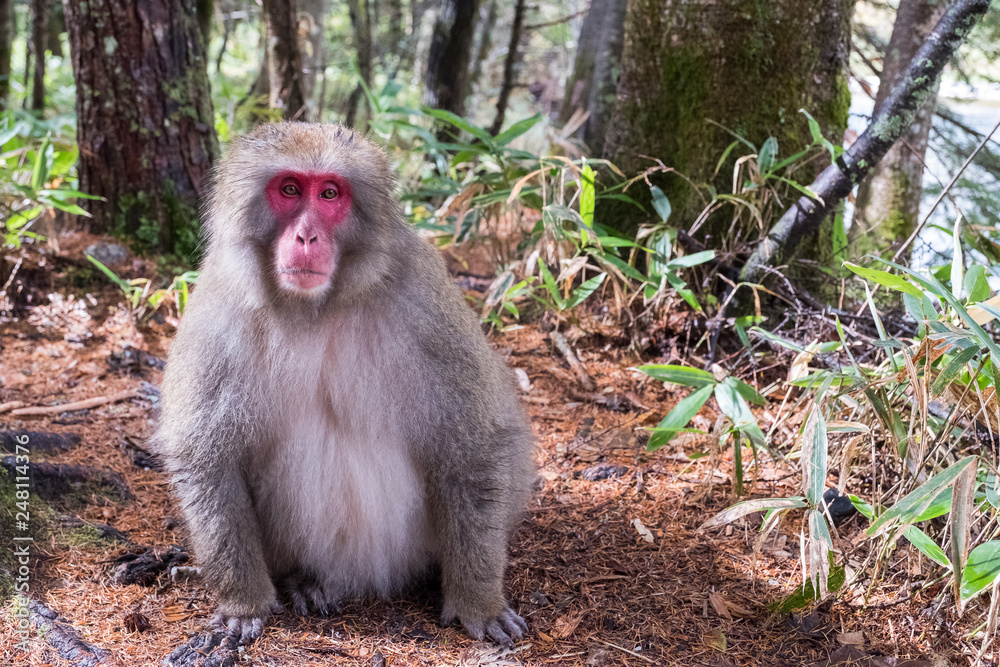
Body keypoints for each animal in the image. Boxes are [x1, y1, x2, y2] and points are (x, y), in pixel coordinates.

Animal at [156, 122, 535, 648]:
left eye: (330, 194)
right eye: (290, 190)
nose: (306, 235)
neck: (317, 308)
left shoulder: (424, 298)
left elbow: (473, 444)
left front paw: (478, 600)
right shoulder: (219, 308)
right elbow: (208, 458)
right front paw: (243, 600)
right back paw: (304, 579)